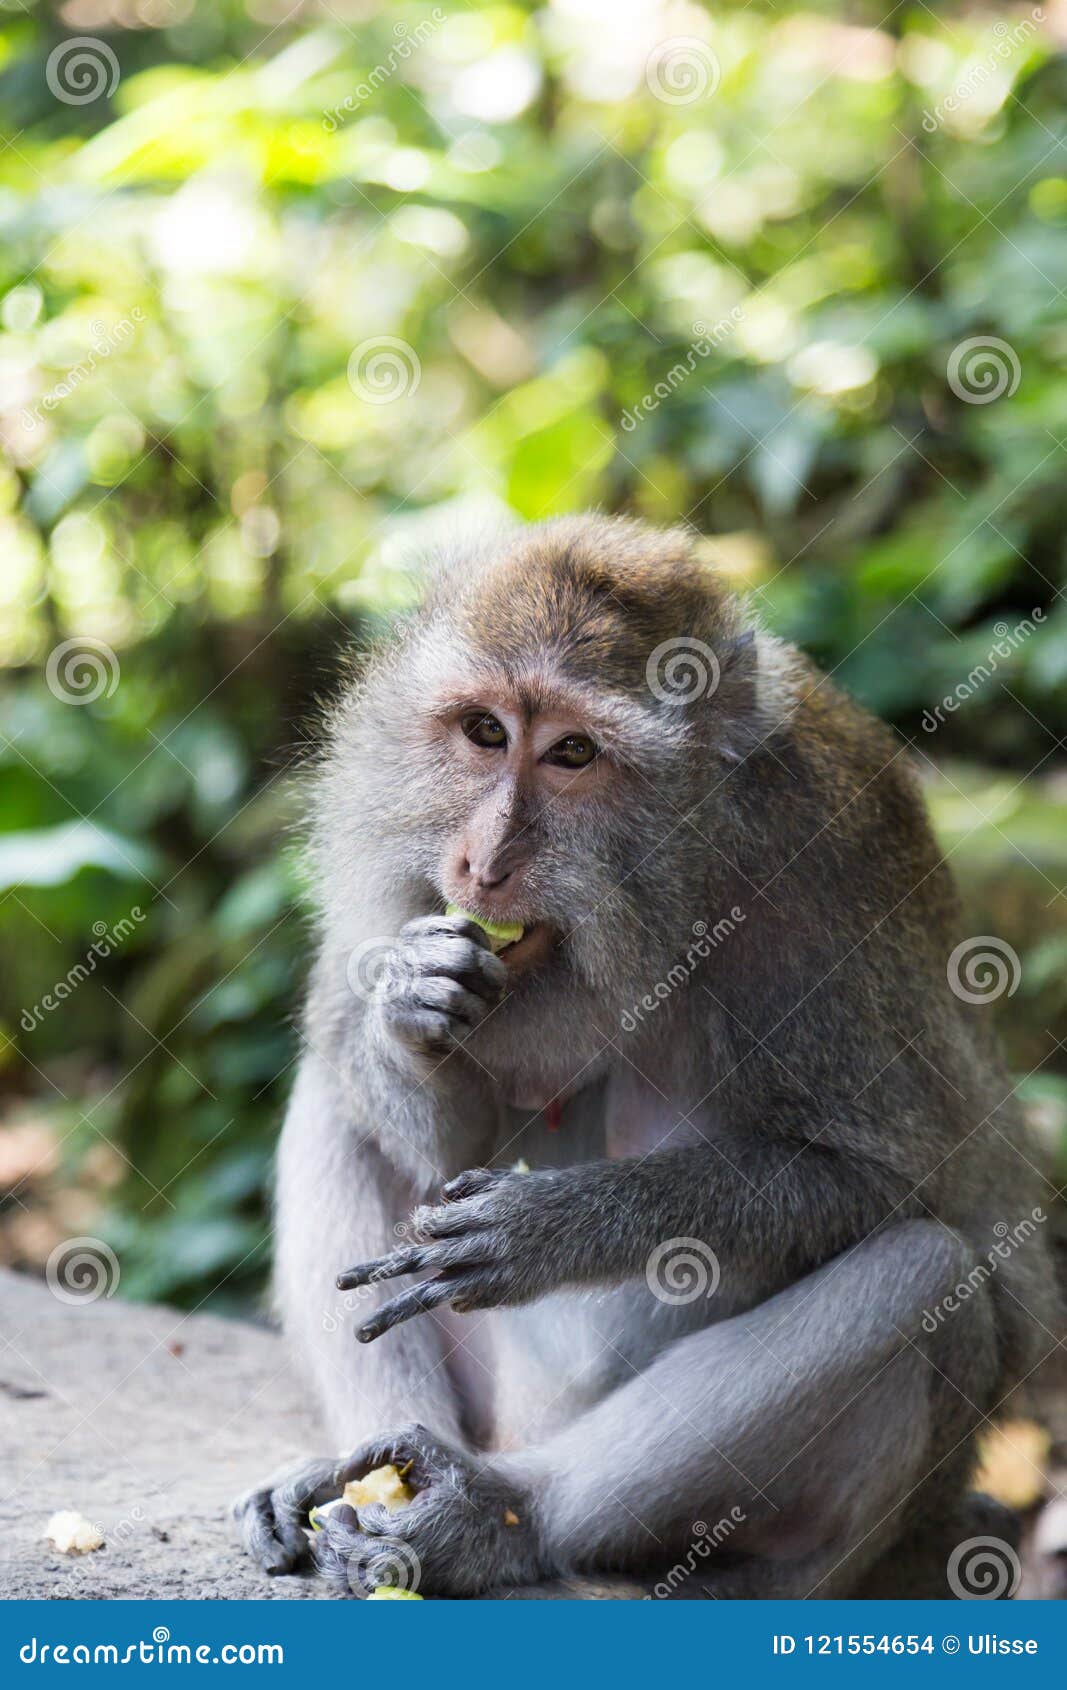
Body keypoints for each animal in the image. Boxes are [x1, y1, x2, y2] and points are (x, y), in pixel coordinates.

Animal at [234, 514, 1057, 1599]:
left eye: (574, 752)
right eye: (485, 732)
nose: (481, 865)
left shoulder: (820, 880)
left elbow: (887, 1177)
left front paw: (553, 1229)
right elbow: (443, 1136)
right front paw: (411, 1000)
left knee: (922, 1278)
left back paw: (498, 1519)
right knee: (335, 1100)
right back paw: (355, 1479)